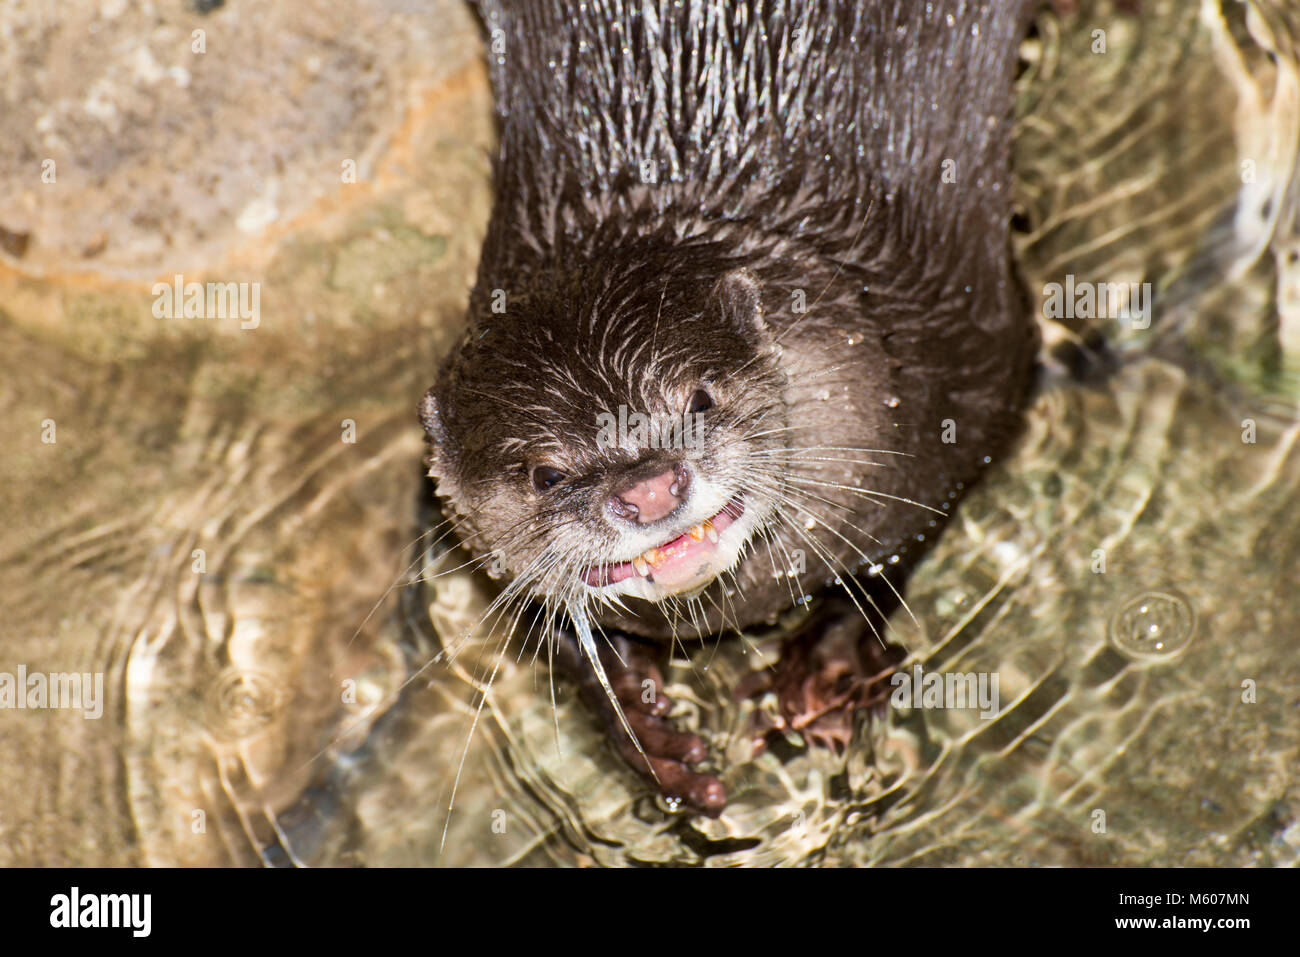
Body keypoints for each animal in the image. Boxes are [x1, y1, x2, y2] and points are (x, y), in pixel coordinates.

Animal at [420, 0, 1039, 815]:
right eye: (545, 474)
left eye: (699, 398)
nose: (649, 488)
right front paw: (642, 724)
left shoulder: (975, 354)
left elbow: (915, 522)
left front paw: (828, 663)